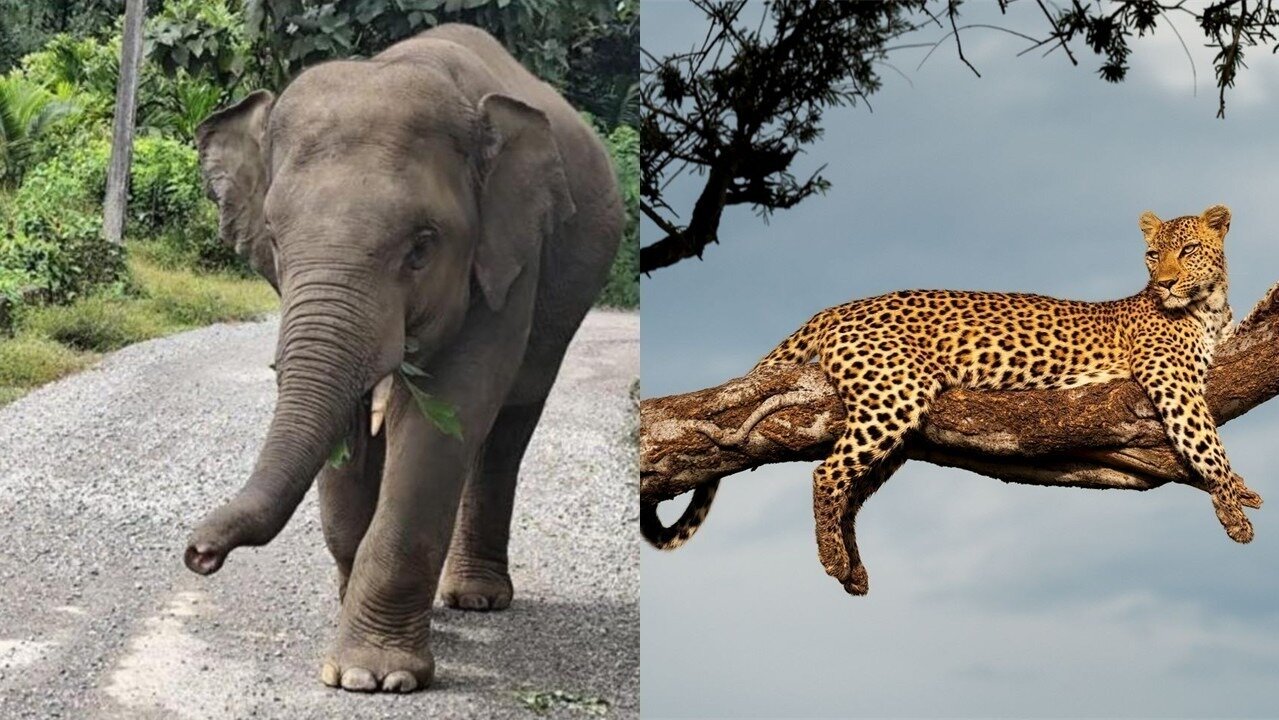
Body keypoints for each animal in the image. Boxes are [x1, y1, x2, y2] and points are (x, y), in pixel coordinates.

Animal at [185, 23, 623, 693]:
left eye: (421, 248)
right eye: (275, 240)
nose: (198, 554)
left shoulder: (510, 255)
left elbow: (452, 409)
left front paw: (373, 676)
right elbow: (348, 432)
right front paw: (351, 635)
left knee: (508, 425)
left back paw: (476, 600)